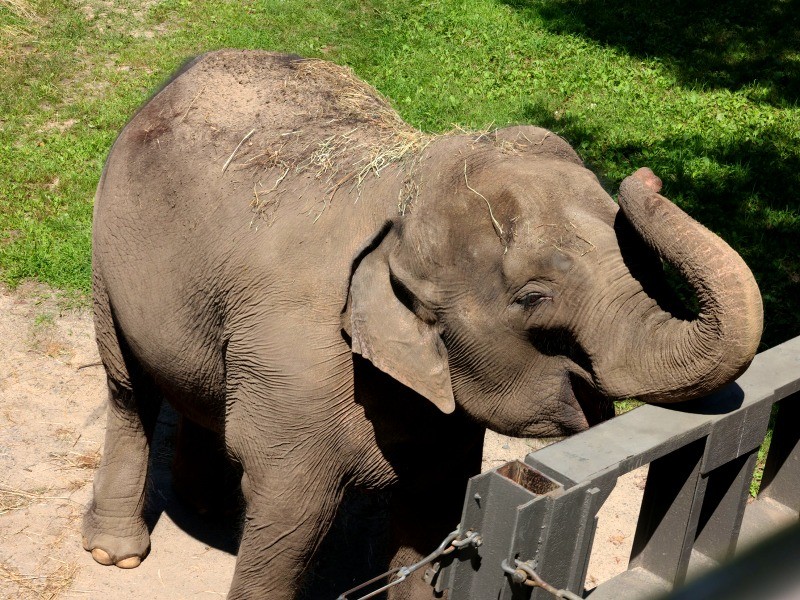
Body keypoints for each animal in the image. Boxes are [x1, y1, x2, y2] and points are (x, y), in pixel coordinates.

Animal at [82, 50, 763, 599]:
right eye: (532, 297)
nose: (647, 176)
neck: (400, 194)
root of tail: (178, 73)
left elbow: (436, 507)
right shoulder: (292, 365)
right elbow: (289, 516)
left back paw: (210, 509)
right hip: (107, 256)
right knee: (128, 390)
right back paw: (117, 554)